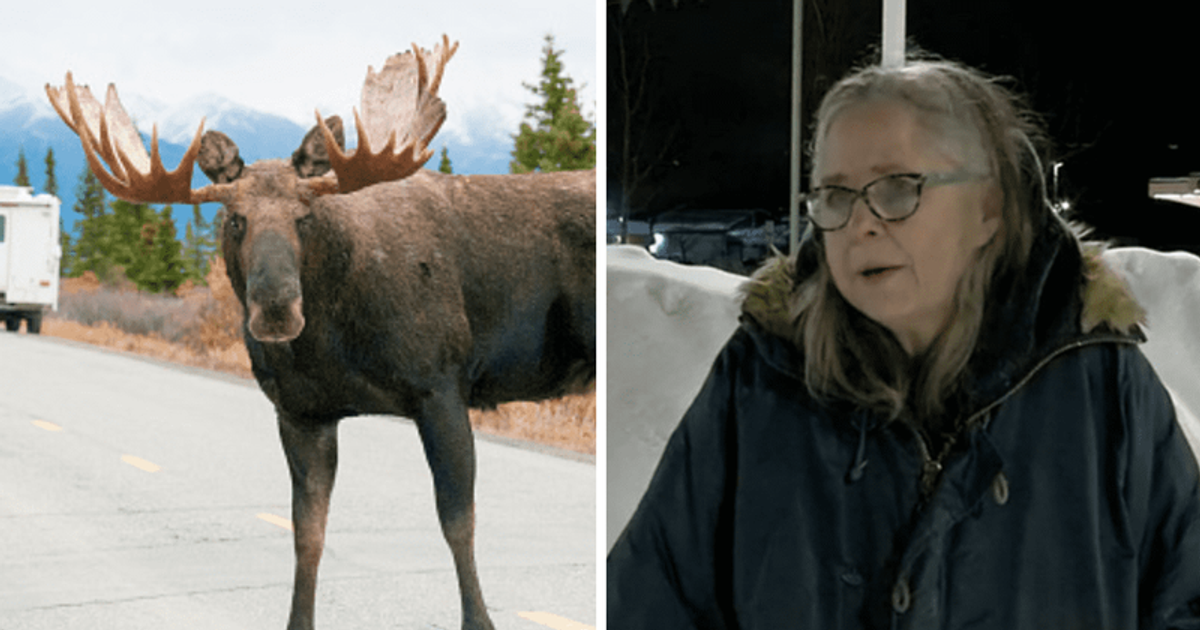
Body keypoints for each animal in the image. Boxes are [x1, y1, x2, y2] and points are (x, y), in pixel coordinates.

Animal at [46, 35, 595, 630]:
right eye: (235, 220)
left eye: (304, 217)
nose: (276, 307)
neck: (334, 337)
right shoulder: (301, 412)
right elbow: (307, 533)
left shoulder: (441, 389)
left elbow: (457, 523)